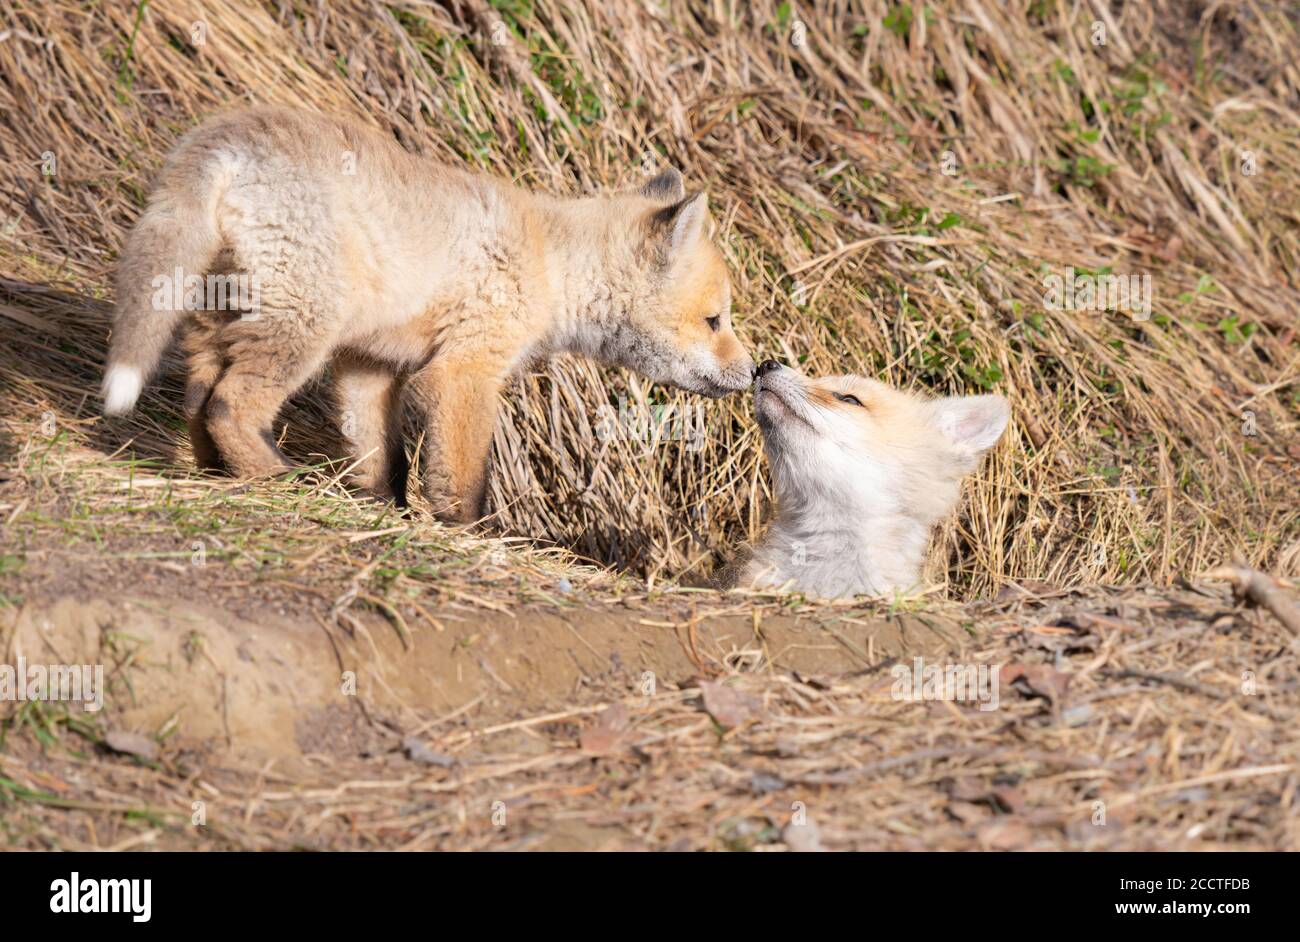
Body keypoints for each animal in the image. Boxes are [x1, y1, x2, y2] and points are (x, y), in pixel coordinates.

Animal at [101, 106, 754, 521]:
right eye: (715, 321)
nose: (754, 372)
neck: (549, 261)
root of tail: (228, 134)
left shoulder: (369, 365)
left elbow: (381, 461)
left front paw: (383, 511)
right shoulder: (465, 369)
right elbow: (464, 475)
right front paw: (469, 531)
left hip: (227, 315)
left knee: (199, 399)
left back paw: (218, 475)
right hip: (305, 325)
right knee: (230, 407)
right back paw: (280, 479)